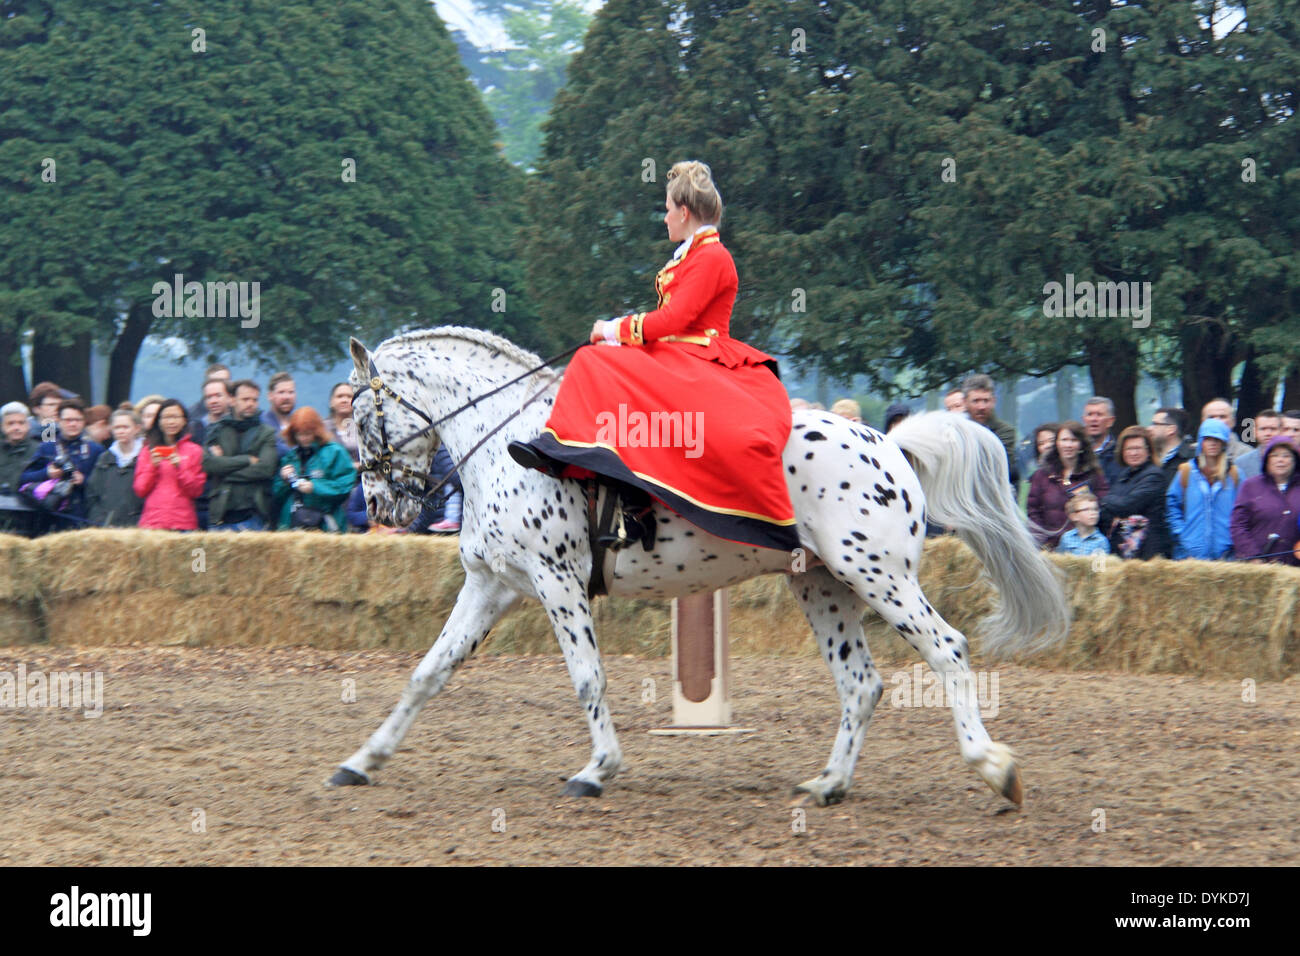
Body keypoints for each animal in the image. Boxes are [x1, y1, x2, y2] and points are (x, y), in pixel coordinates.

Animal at [329, 327, 1069, 807]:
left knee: (947, 649)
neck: (506, 443)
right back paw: (829, 784)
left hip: (879, 576)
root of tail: (889, 443)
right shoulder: (492, 584)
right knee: (861, 684)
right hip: (822, 586)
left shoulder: (555, 581)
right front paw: (362, 761)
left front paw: (598, 769)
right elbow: (427, 674)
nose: (383, 504)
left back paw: (993, 768)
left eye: (362, 419)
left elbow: (588, 679)